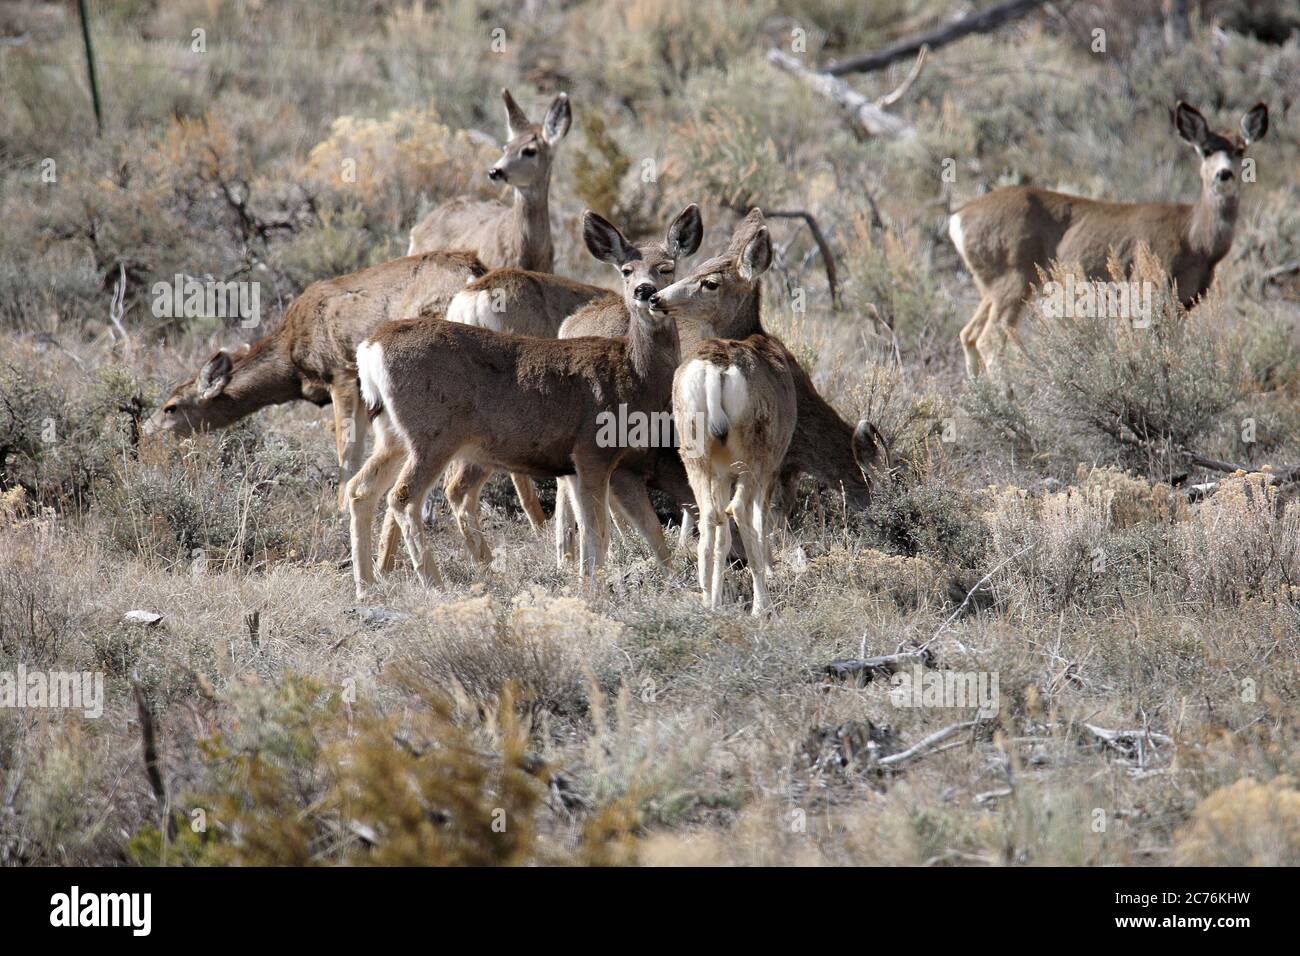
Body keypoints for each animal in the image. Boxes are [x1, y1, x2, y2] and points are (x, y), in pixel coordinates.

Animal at [144, 251, 484, 508]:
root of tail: (473, 275)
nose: (146, 431)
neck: (291, 362)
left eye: (171, 407)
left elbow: (347, 449)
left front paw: (341, 508)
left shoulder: (341, 373)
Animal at [345, 215, 684, 599]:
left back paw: (366, 586)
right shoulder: (593, 451)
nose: (646, 292)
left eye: (667, 267)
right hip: (432, 436)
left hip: (392, 434)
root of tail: (370, 348)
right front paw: (594, 588)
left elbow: (605, 528)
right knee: (403, 497)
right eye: (626, 270)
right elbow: (598, 529)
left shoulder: (575, 465)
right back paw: (435, 585)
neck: (635, 371)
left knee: (360, 489)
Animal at [951, 101, 1269, 378]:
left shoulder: (1182, 304)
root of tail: (958, 218)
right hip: (1014, 275)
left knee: (968, 334)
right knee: (989, 339)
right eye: (1206, 150)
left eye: (1240, 149)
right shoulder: (1143, 285)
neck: (1195, 239)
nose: (1224, 174)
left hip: (991, 284)